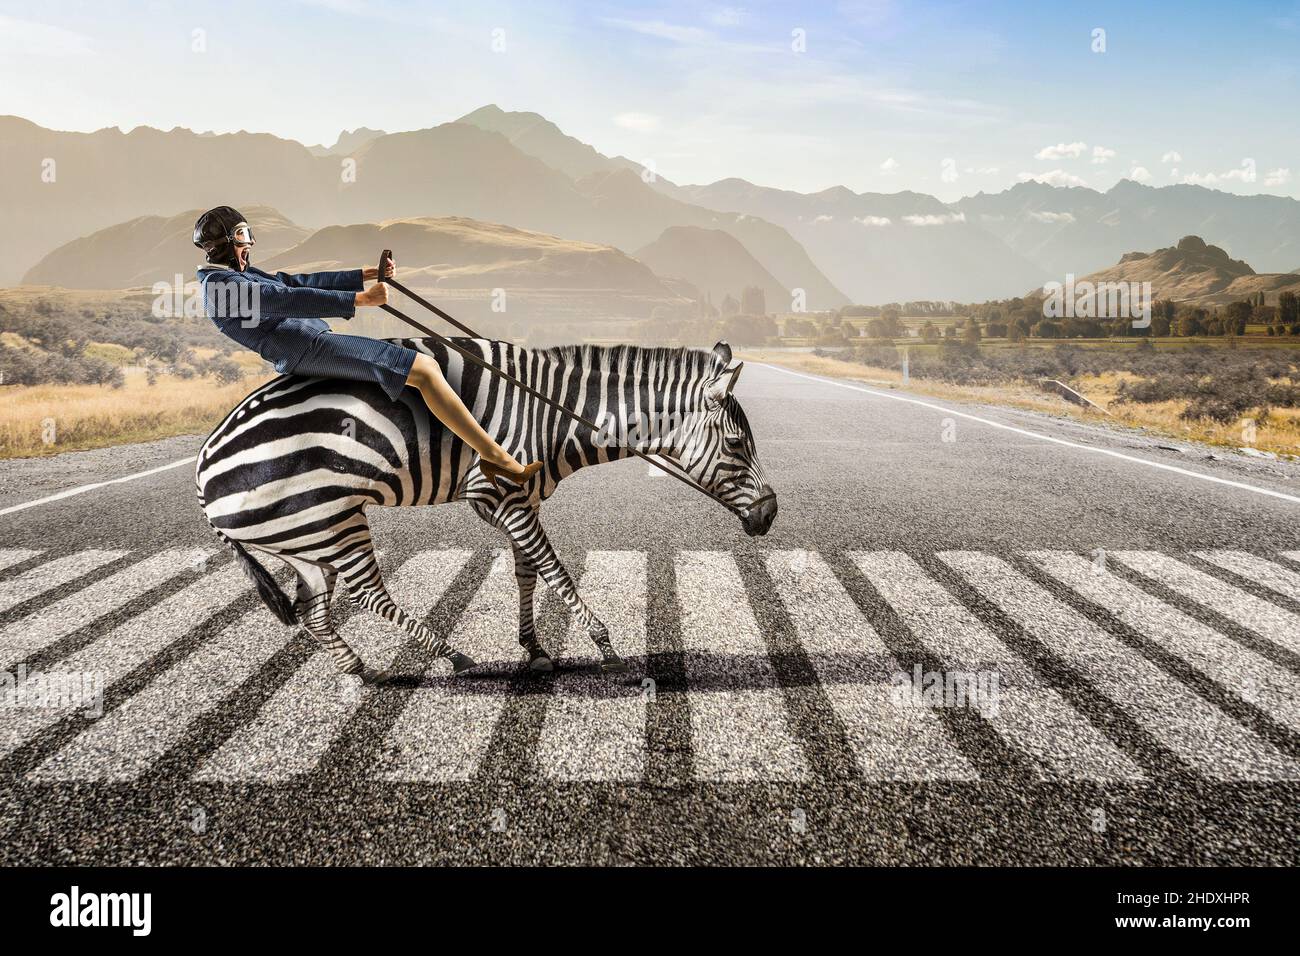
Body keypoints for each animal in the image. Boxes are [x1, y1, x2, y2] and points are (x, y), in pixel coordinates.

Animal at [195, 338, 777, 682]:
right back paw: (451, 655)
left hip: (303, 540)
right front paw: (606, 646)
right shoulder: (495, 494)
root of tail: (202, 471)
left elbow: (528, 572)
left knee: (316, 613)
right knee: (368, 594)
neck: (550, 411)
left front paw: (535, 648)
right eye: (735, 444)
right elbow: (556, 571)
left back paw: (360, 670)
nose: (770, 514)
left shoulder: (521, 498)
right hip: (328, 523)